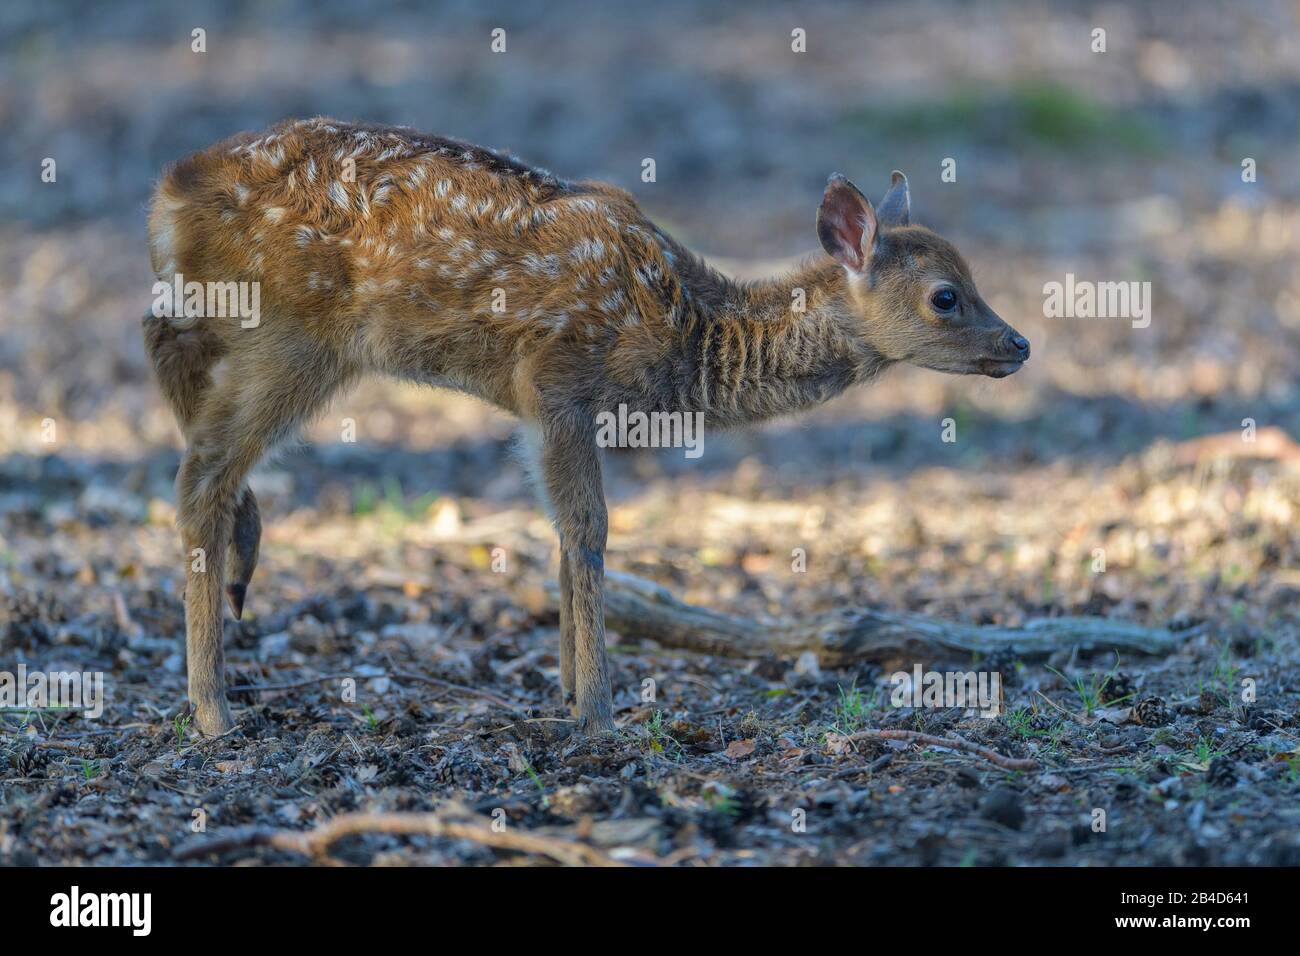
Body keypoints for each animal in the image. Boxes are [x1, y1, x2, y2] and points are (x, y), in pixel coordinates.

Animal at [143, 118, 1029, 738]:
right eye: (946, 296)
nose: (1019, 344)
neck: (682, 328)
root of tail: (168, 196)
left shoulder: (553, 409)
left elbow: (564, 538)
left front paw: (568, 693)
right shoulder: (556, 380)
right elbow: (589, 529)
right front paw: (600, 713)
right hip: (294, 334)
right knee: (200, 476)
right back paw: (215, 711)